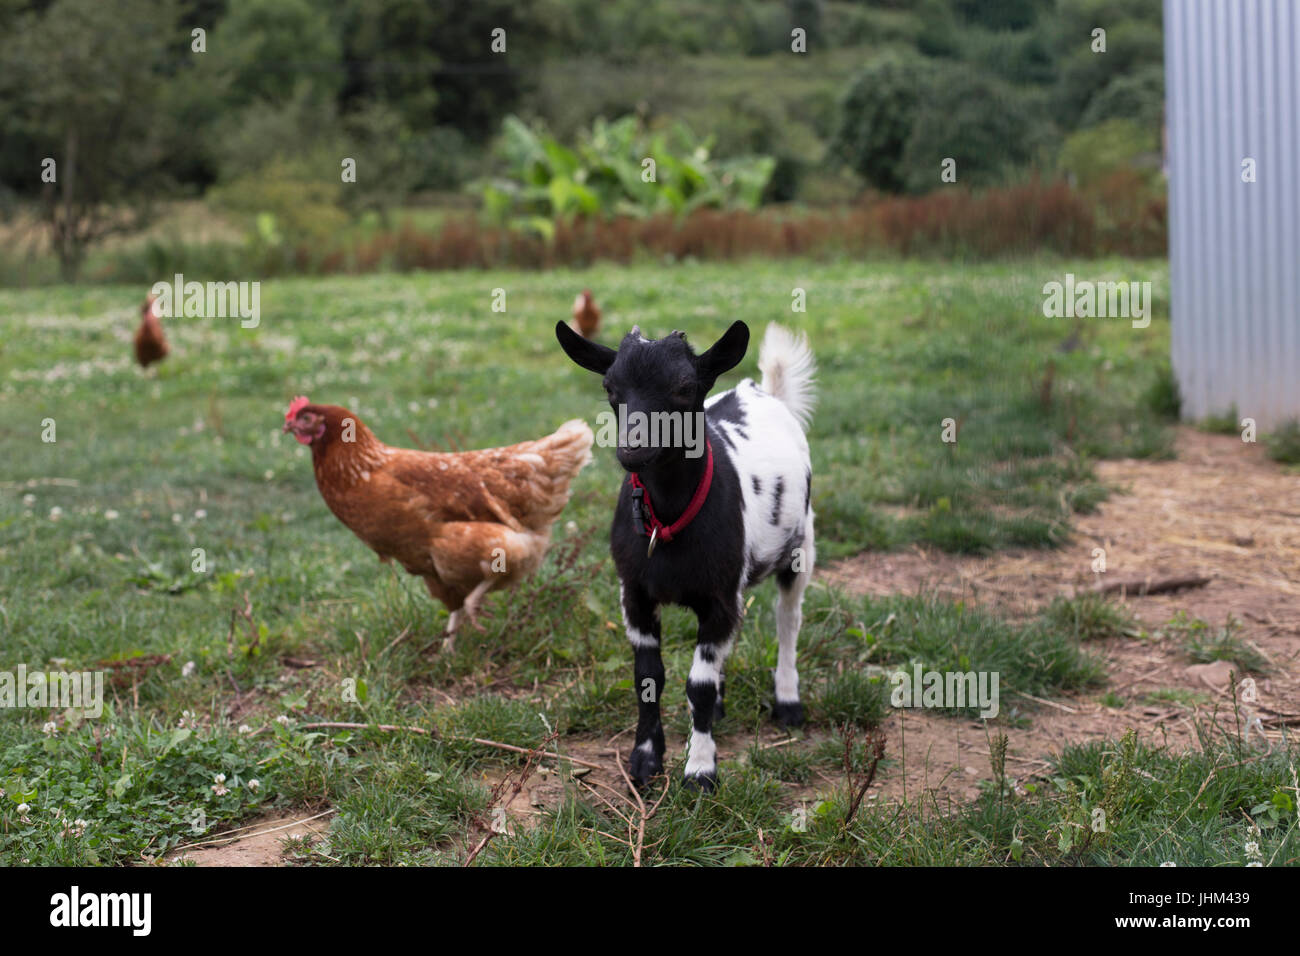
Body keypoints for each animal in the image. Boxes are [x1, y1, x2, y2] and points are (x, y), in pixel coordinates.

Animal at [556, 319, 816, 791]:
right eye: (609, 386)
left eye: (683, 387)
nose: (633, 448)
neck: (668, 519)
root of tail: (757, 389)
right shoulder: (635, 593)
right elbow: (648, 676)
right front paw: (645, 759)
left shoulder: (718, 596)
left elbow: (698, 684)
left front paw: (700, 771)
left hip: (802, 544)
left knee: (788, 619)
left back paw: (788, 701)